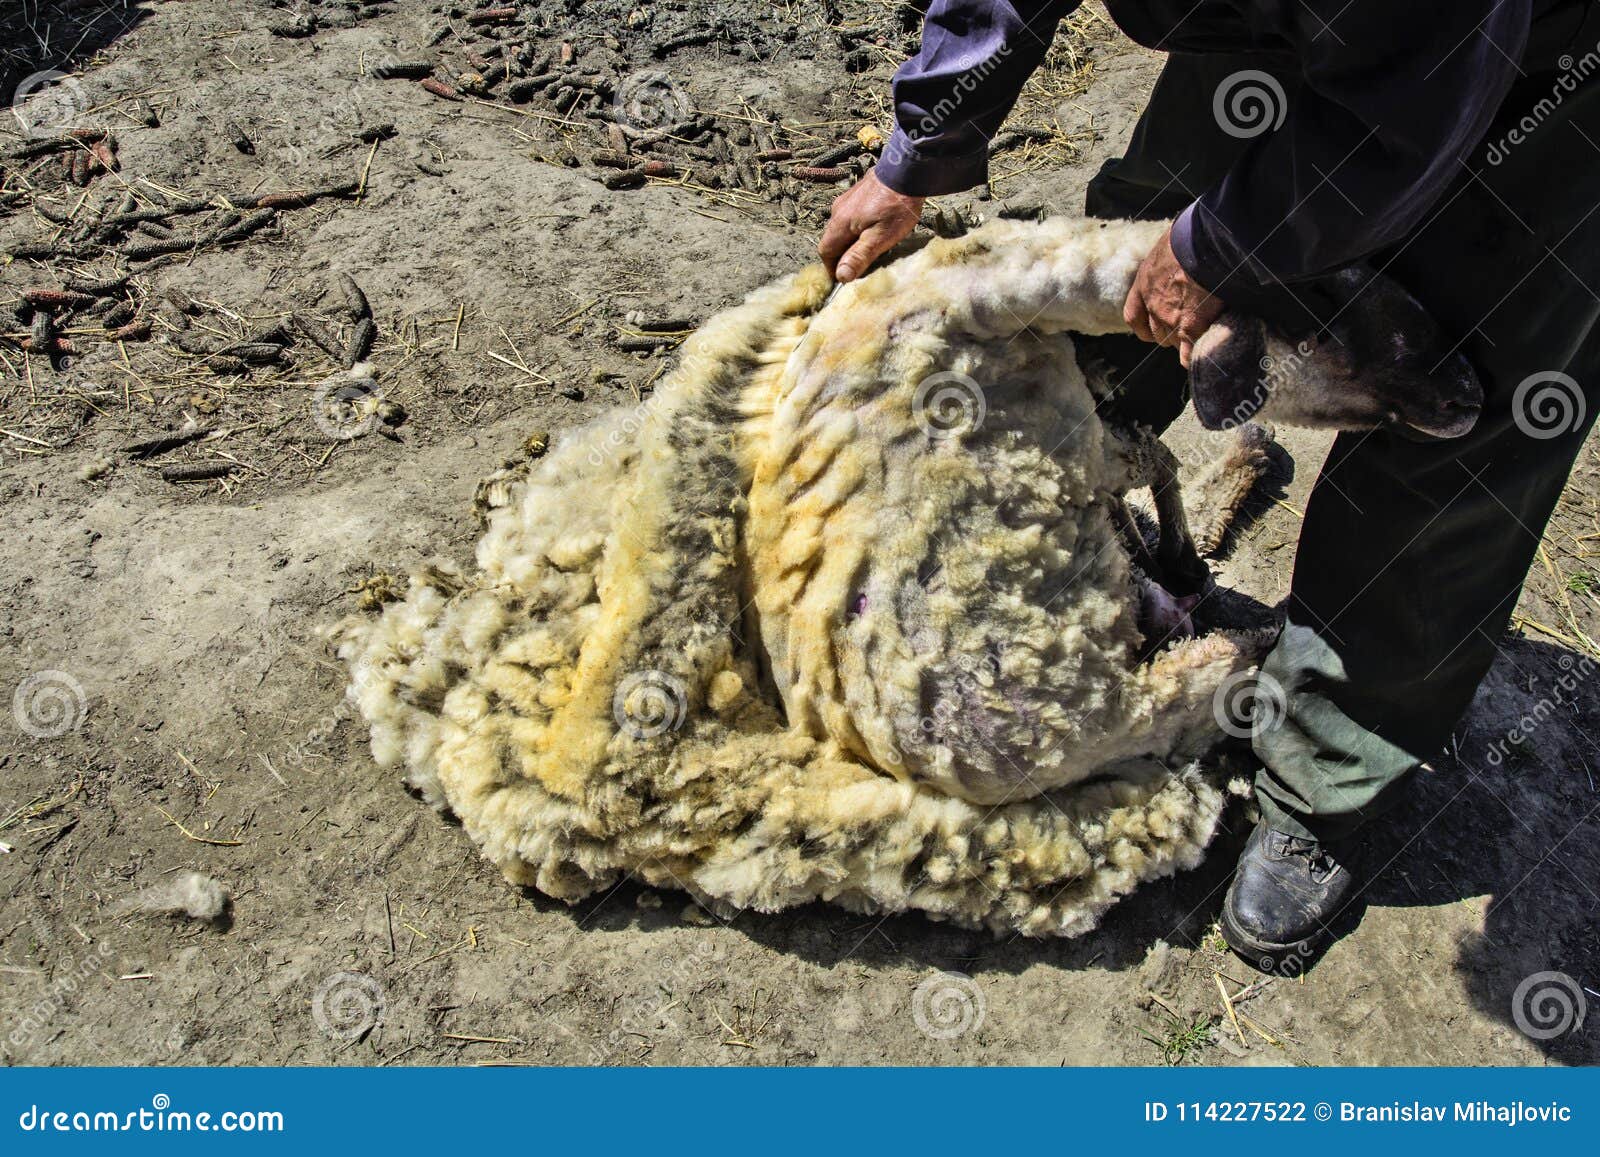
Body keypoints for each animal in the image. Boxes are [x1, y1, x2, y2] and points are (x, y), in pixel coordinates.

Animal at [333, 215, 1480, 937]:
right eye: (1356, 316)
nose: (1471, 395)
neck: (969, 293)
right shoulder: (1076, 432)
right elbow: (1148, 457)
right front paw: (1199, 538)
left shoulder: (1077, 435)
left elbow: (1144, 470)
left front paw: (1196, 523)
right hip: (1125, 693)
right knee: (1203, 663)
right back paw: (1239, 613)